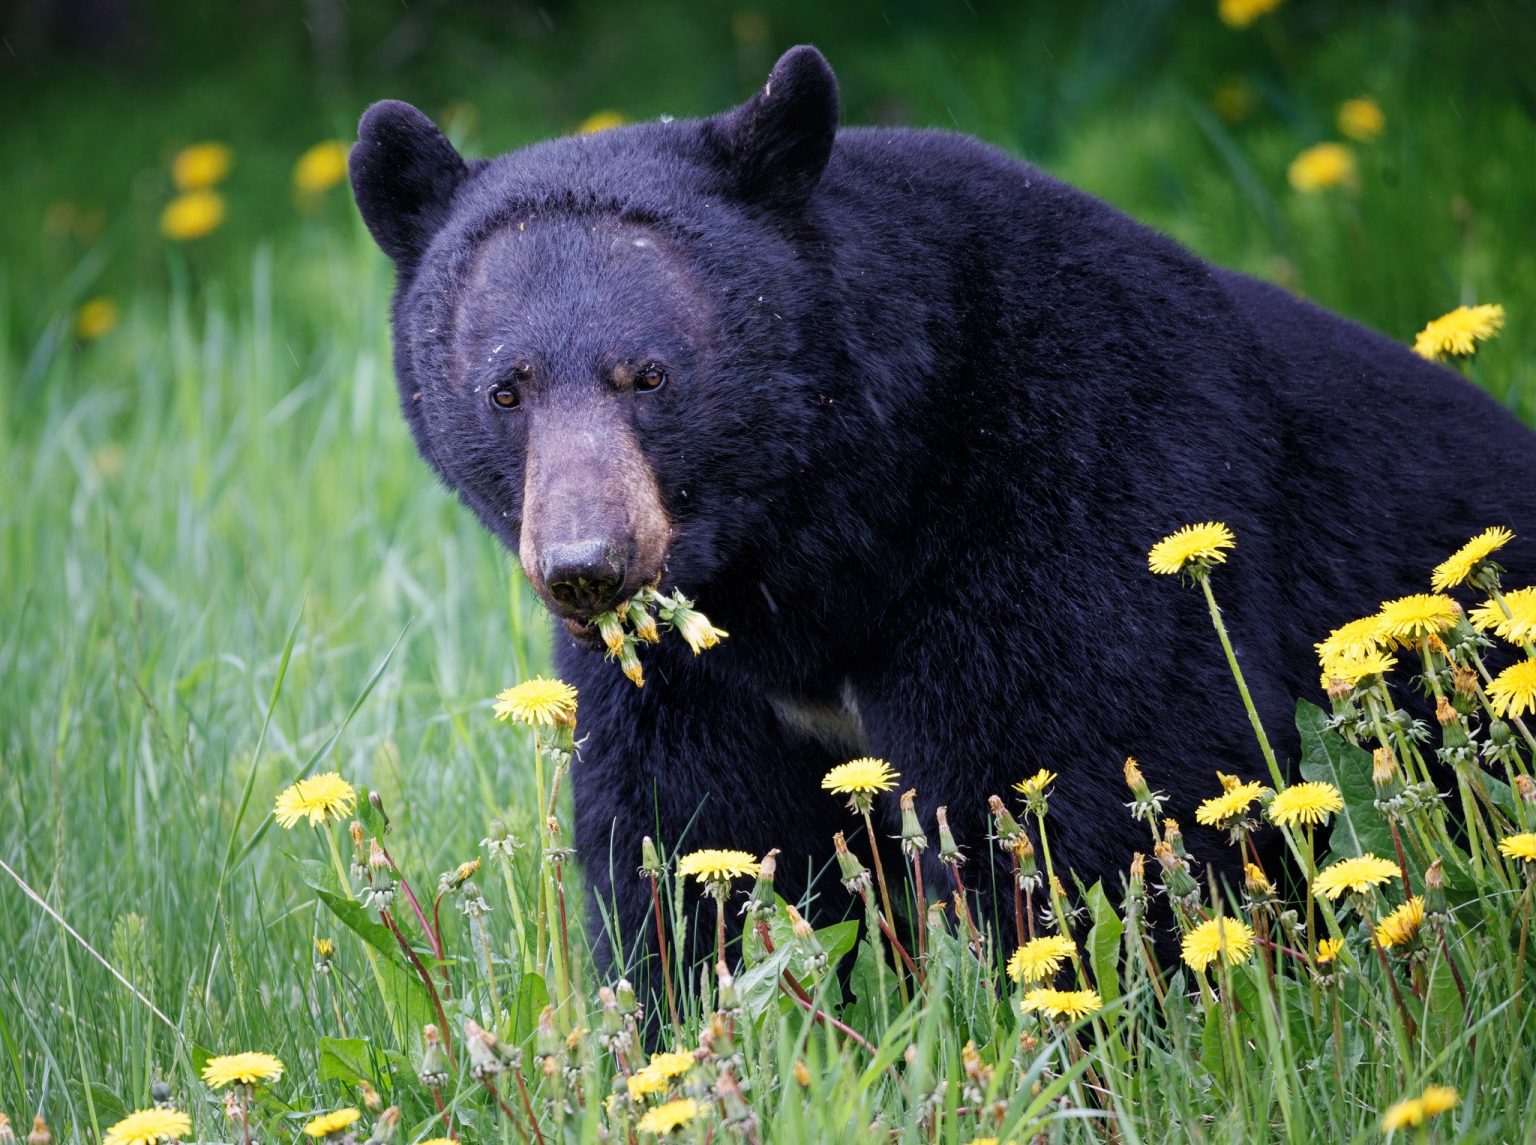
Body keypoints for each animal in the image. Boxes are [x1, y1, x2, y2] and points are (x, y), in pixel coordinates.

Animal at [349, 45, 1536, 987]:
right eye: (505, 390)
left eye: (648, 375)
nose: (587, 563)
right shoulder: (692, 667)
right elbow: (691, 834)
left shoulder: (1077, 482)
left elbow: (1072, 780)